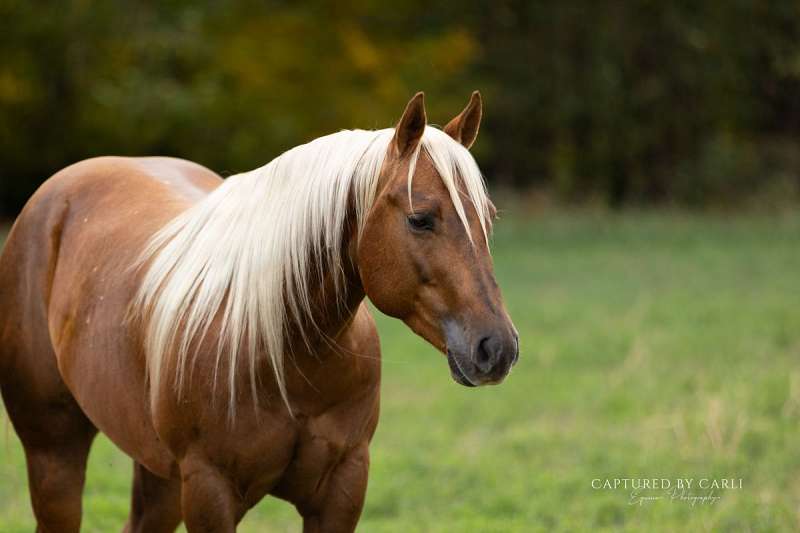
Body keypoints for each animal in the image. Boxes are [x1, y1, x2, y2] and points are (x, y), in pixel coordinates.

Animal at [0, 91, 518, 532]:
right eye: (420, 219)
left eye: (488, 218)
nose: (497, 348)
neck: (283, 353)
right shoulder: (209, 492)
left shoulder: (343, 486)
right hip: (55, 452)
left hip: (159, 471)